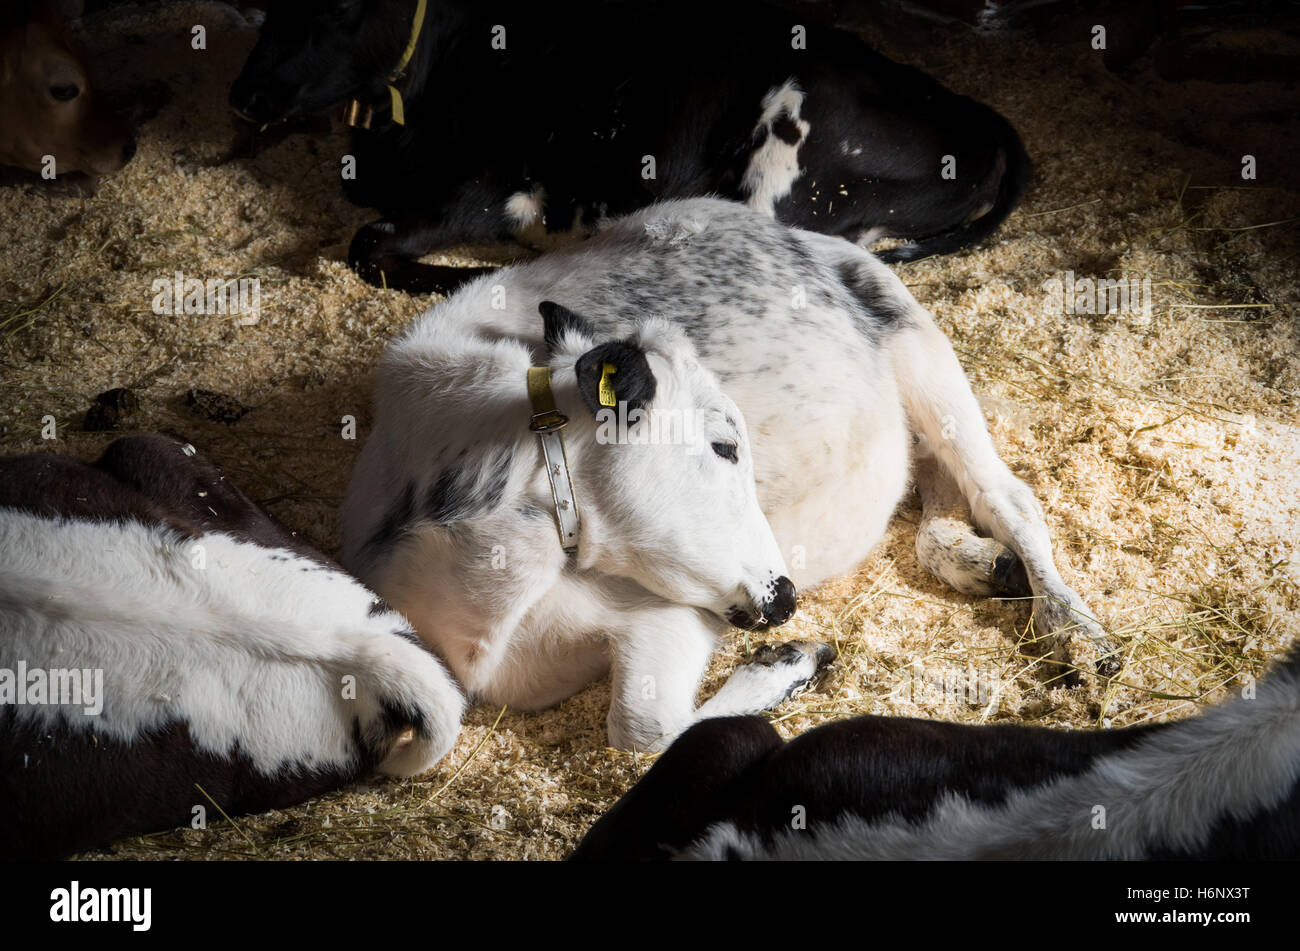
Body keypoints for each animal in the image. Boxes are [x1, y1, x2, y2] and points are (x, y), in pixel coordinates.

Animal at [229, 0, 1031, 294]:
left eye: (340, 8)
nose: (244, 95)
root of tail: (976, 113)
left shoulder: (492, 184)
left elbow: (367, 245)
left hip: (779, 169)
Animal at [339, 197, 1109, 754]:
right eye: (723, 446)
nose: (787, 594)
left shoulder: (667, 613)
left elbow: (644, 727)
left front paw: (791, 663)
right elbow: (648, 727)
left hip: (912, 333)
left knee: (1004, 494)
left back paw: (1078, 633)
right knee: (932, 489)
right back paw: (981, 562)